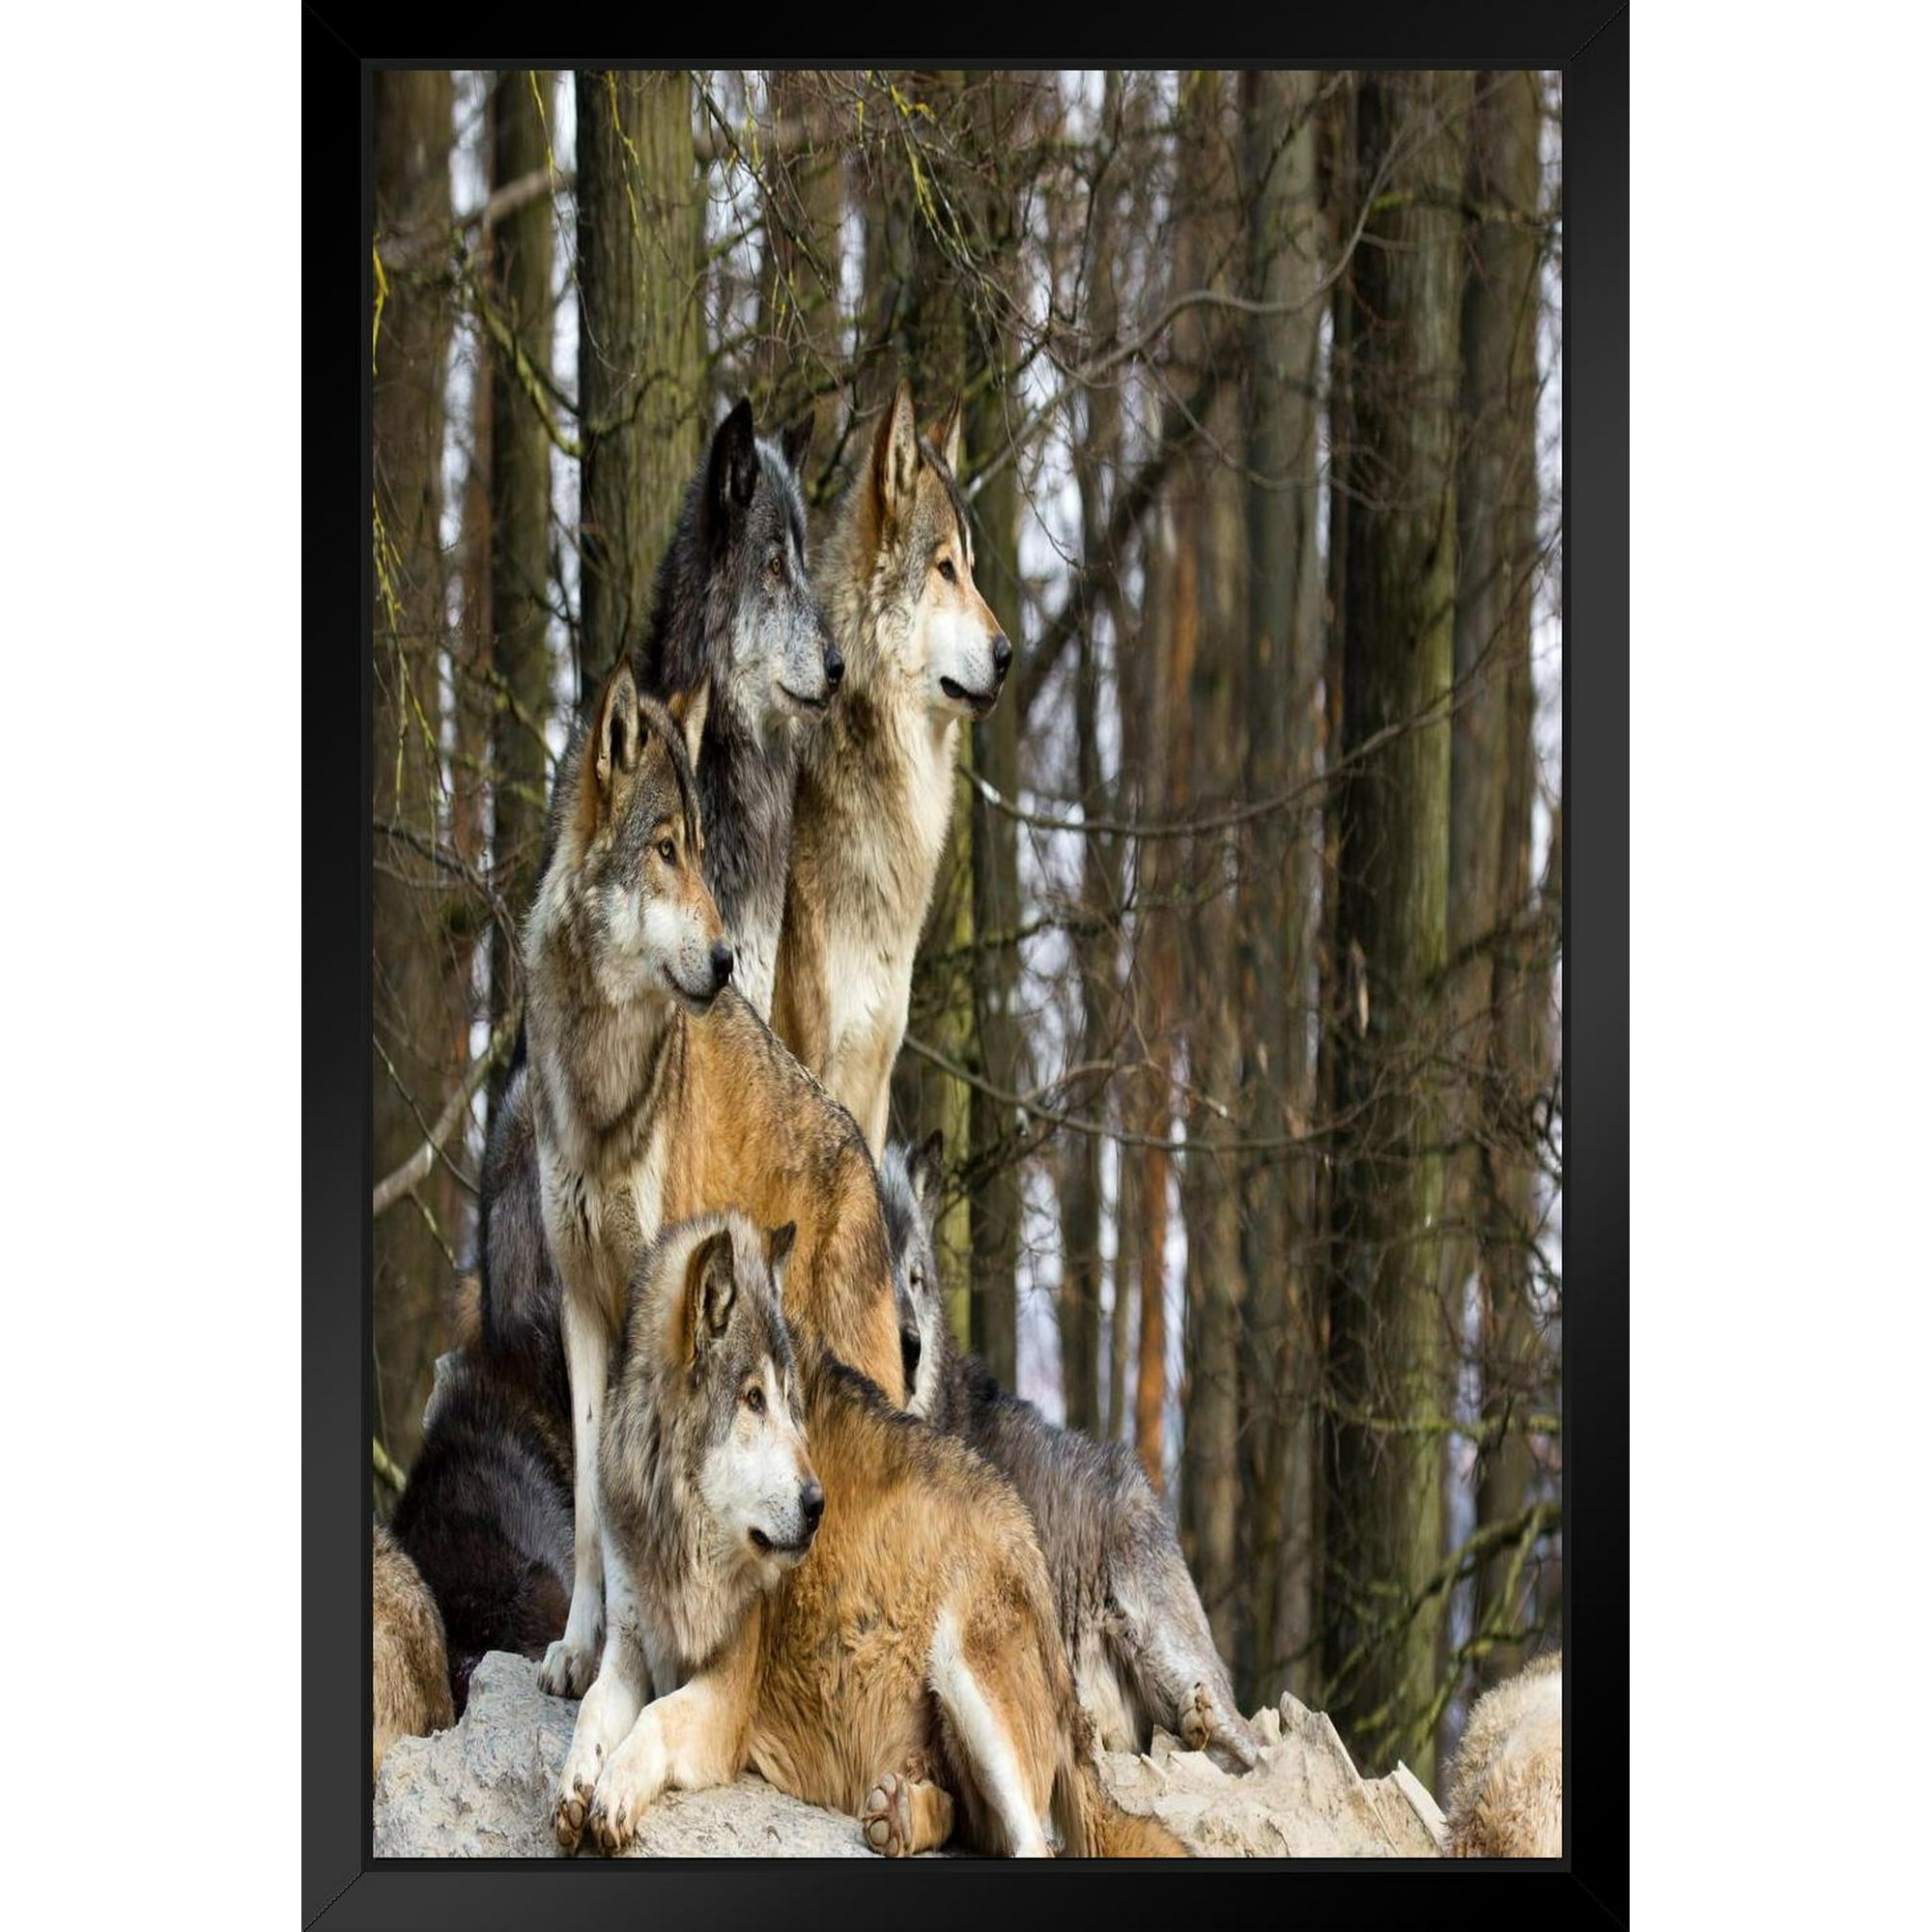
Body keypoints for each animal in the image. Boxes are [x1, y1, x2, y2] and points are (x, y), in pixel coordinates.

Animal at [503, 656, 905, 1699]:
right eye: (663, 851)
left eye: (705, 856)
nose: (726, 961)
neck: (603, 1073)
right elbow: (588, 1508)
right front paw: (578, 1649)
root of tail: (861, 1147)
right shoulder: (581, 1305)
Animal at [552, 1210, 1187, 1860]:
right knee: (971, 1820)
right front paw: (577, 1783)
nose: (817, 1505)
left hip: (963, 1674)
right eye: (753, 1398)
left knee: (1033, 1842)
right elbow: (593, 1710)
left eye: (791, 1402)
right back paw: (898, 1815)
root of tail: (1033, 1551)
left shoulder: (725, 1698)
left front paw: (614, 1791)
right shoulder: (627, 1648)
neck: (679, 1534)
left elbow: (654, 1718)